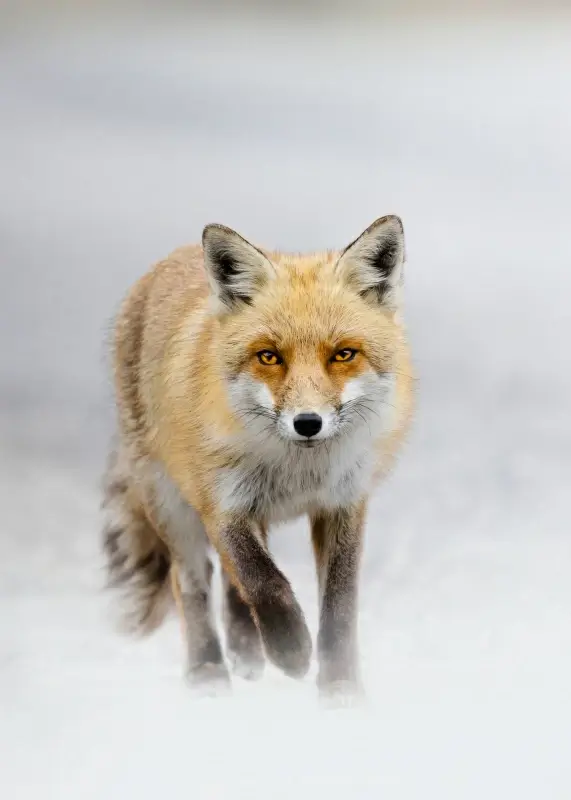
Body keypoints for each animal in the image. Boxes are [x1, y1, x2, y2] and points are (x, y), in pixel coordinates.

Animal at [102, 214, 414, 701]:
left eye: (343, 354)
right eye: (269, 356)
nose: (308, 423)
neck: (299, 472)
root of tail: (170, 259)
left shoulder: (344, 503)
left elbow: (339, 605)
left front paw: (340, 687)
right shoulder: (220, 503)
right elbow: (263, 580)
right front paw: (290, 650)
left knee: (233, 587)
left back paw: (246, 650)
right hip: (169, 504)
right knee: (191, 581)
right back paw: (208, 670)